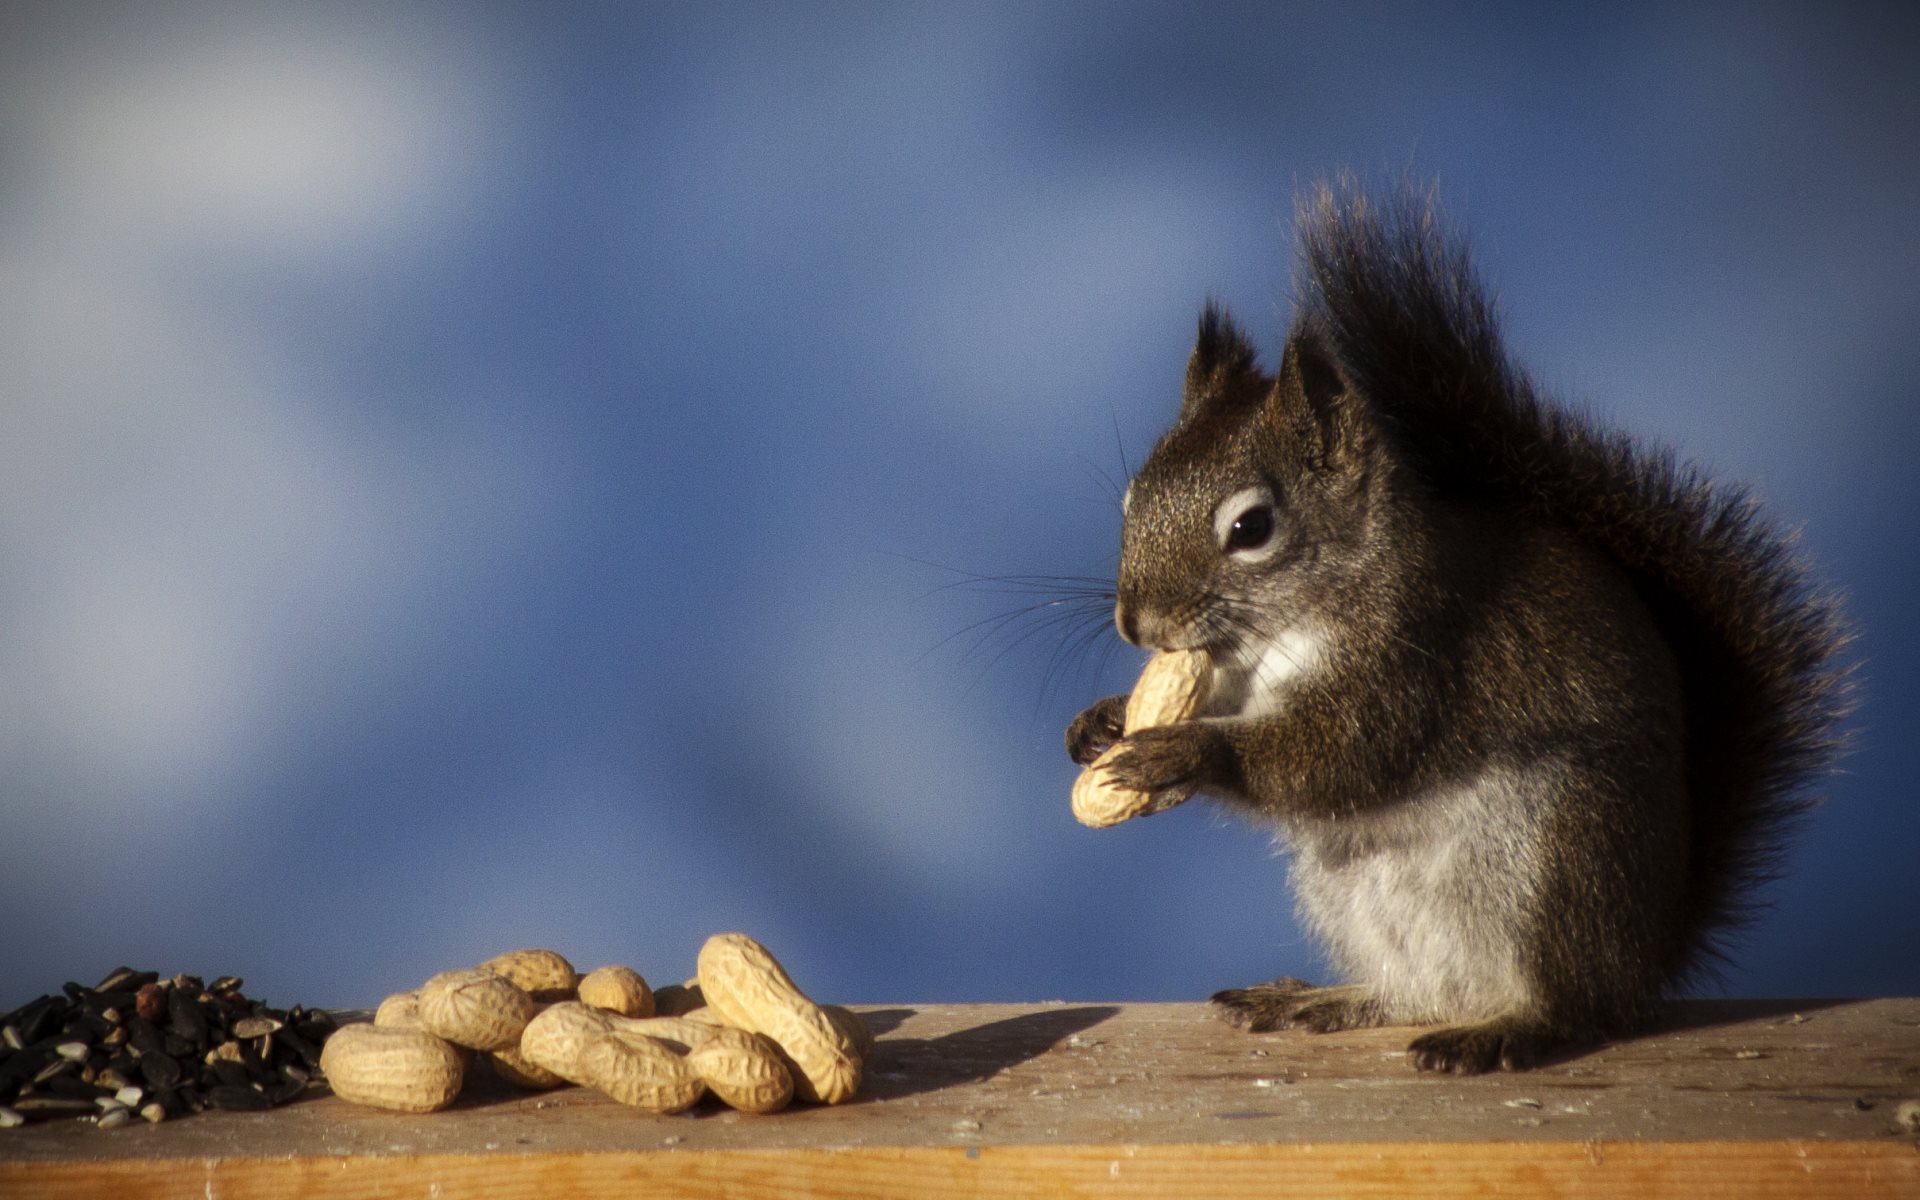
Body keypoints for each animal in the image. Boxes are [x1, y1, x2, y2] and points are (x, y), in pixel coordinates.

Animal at [1065, 180, 1852, 1074]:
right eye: (1133, 497)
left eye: (1251, 528)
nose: (1137, 625)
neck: (1281, 636)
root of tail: (1647, 955)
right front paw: (1101, 724)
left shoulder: (1421, 659)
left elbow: (1336, 757)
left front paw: (1185, 751)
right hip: (1356, 893)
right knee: (1423, 993)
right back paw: (1322, 1000)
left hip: (1566, 856)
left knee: (1572, 1004)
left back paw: (1511, 1028)